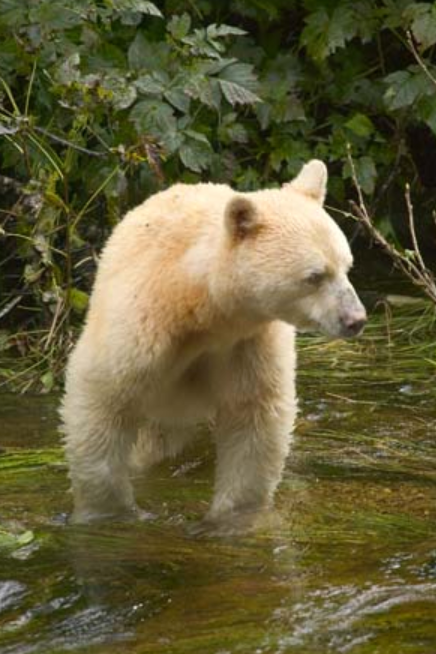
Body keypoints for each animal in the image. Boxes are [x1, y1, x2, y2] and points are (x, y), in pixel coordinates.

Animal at [61, 159, 366, 531]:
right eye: (315, 276)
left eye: (347, 265)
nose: (355, 319)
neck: (198, 305)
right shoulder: (140, 330)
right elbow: (102, 400)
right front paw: (108, 514)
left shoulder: (248, 343)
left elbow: (254, 417)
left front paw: (232, 520)